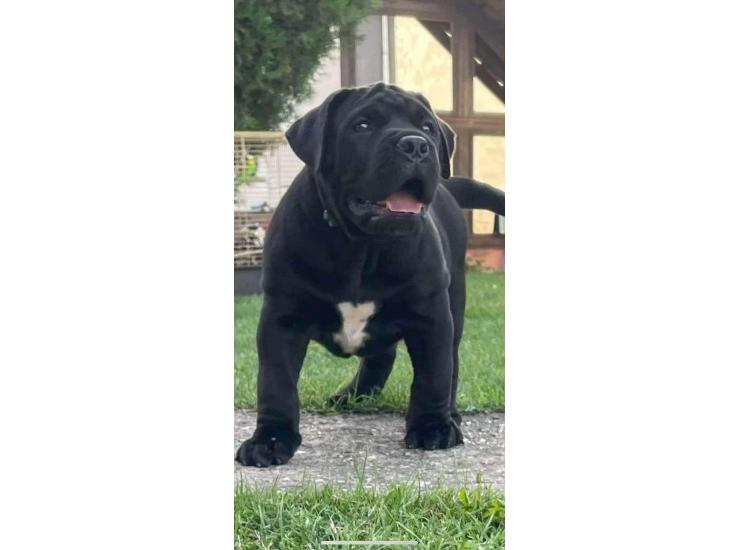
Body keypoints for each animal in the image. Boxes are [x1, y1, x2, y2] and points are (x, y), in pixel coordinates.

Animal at [237, 83, 502, 470]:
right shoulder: (281, 317)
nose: (416, 145)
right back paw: (352, 396)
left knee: (448, 363)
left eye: (427, 128)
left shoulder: (432, 316)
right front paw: (270, 440)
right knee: (381, 355)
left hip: (454, 305)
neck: (362, 247)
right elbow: (276, 381)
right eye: (362, 126)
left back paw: (448, 415)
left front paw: (432, 427)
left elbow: (433, 374)